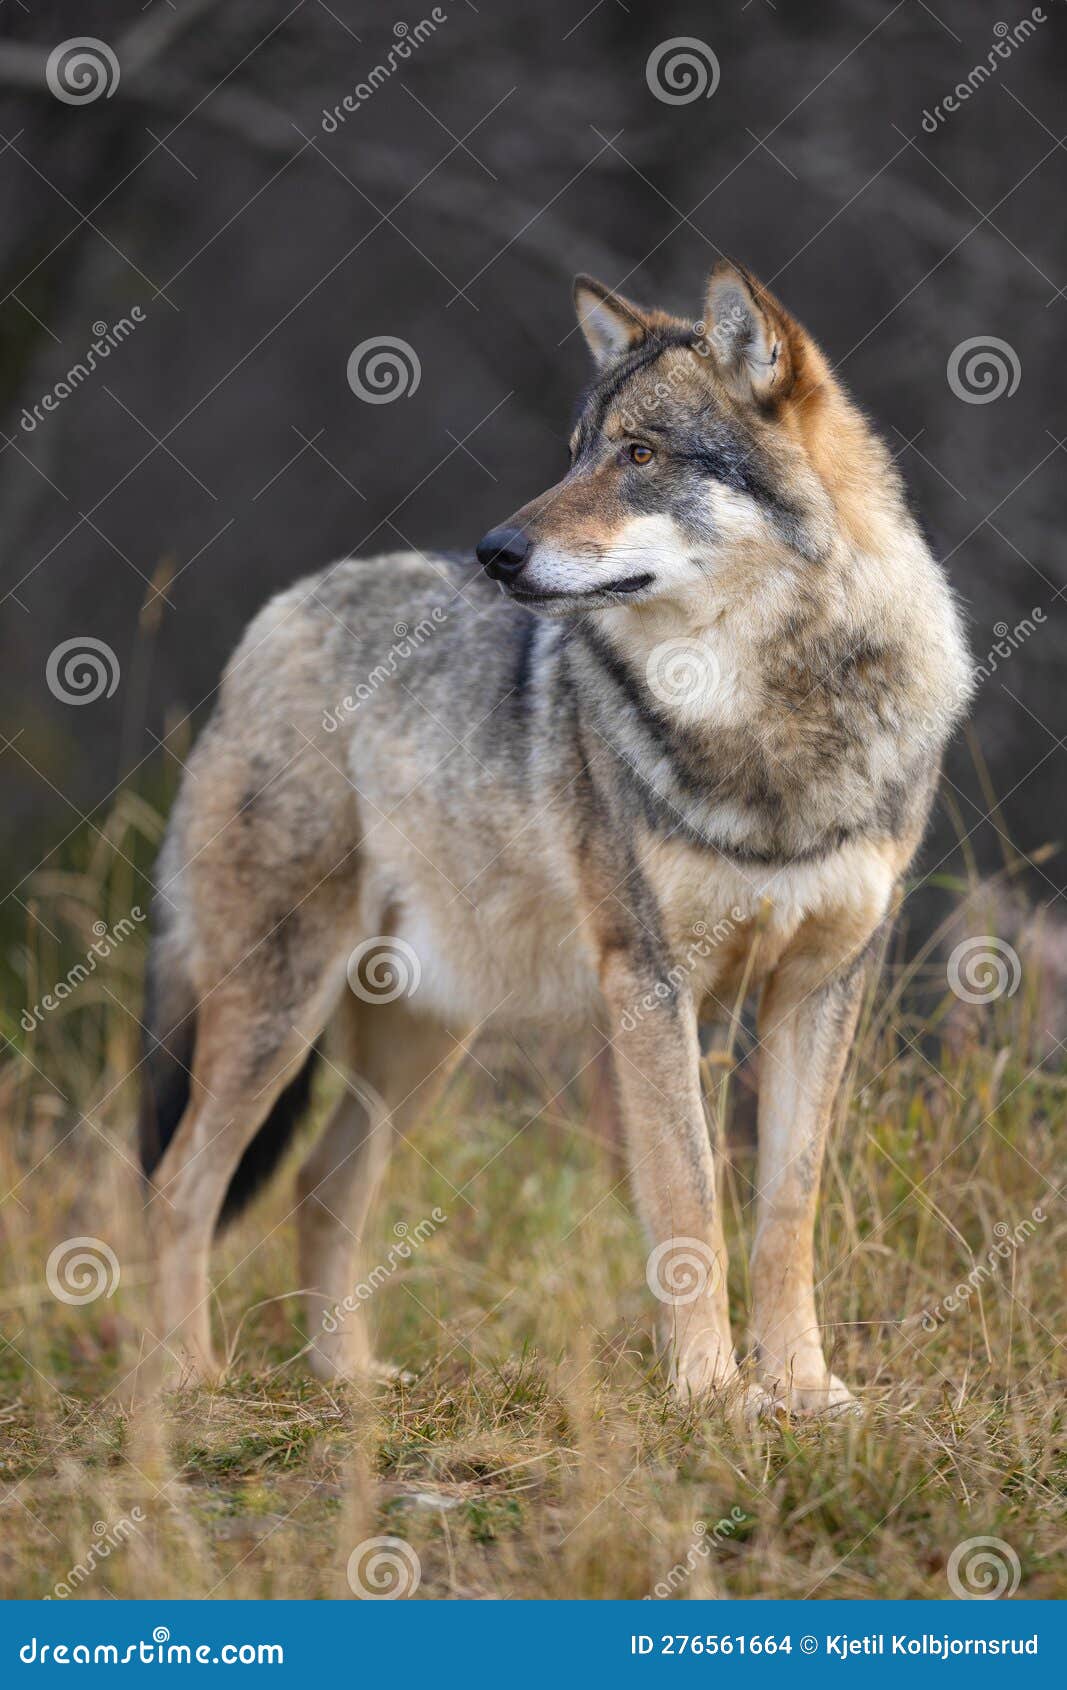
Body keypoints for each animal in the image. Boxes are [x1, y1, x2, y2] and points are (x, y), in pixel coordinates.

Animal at [138, 260, 971, 1414]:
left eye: (639, 455)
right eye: (576, 450)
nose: (496, 552)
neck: (768, 720)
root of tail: (276, 615)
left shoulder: (820, 984)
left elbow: (783, 1215)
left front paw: (803, 1392)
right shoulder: (650, 986)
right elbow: (687, 1205)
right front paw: (710, 1393)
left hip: (418, 1040)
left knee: (318, 1184)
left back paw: (348, 1382)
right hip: (282, 1005)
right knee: (180, 1185)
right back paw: (187, 1382)